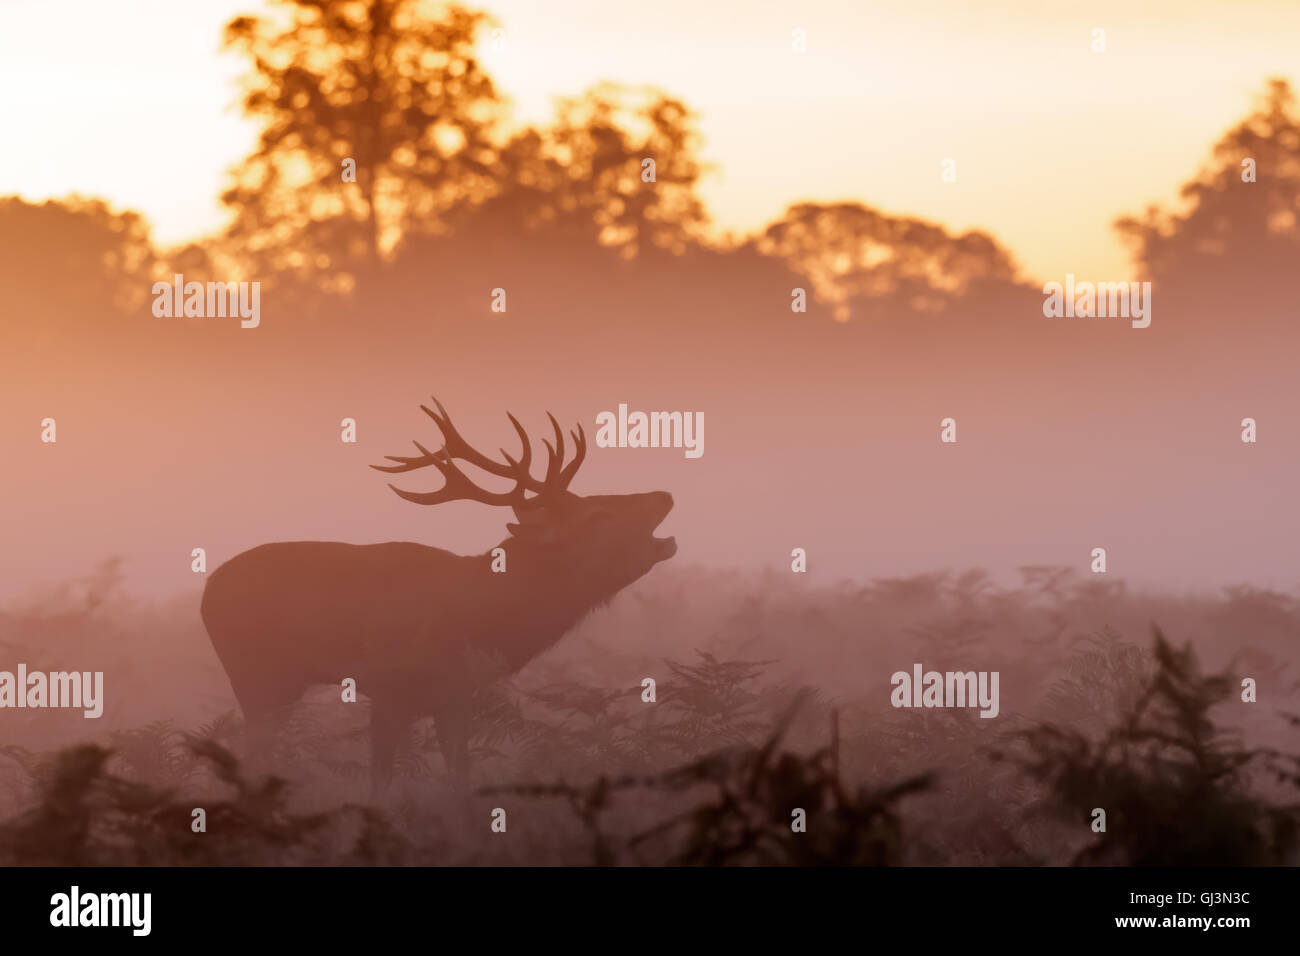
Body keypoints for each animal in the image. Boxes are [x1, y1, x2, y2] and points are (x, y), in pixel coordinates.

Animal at [200, 398, 676, 797]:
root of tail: (206, 594)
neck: (479, 621)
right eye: (598, 515)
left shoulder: (455, 695)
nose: (664, 494)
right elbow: (387, 785)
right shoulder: (391, 689)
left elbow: (457, 776)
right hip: (256, 675)